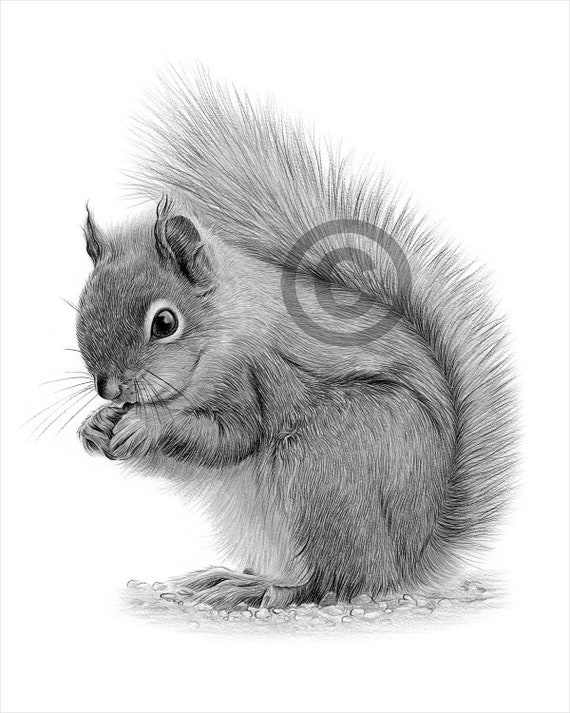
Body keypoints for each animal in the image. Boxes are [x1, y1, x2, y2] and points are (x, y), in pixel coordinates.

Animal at [76, 71, 517, 609]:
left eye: (164, 323)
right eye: (82, 305)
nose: (109, 388)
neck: (226, 326)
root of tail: (408, 557)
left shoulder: (252, 376)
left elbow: (229, 439)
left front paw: (148, 424)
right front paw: (96, 425)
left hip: (327, 467)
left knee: (335, 582)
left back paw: (262, 587)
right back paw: (232, 575)